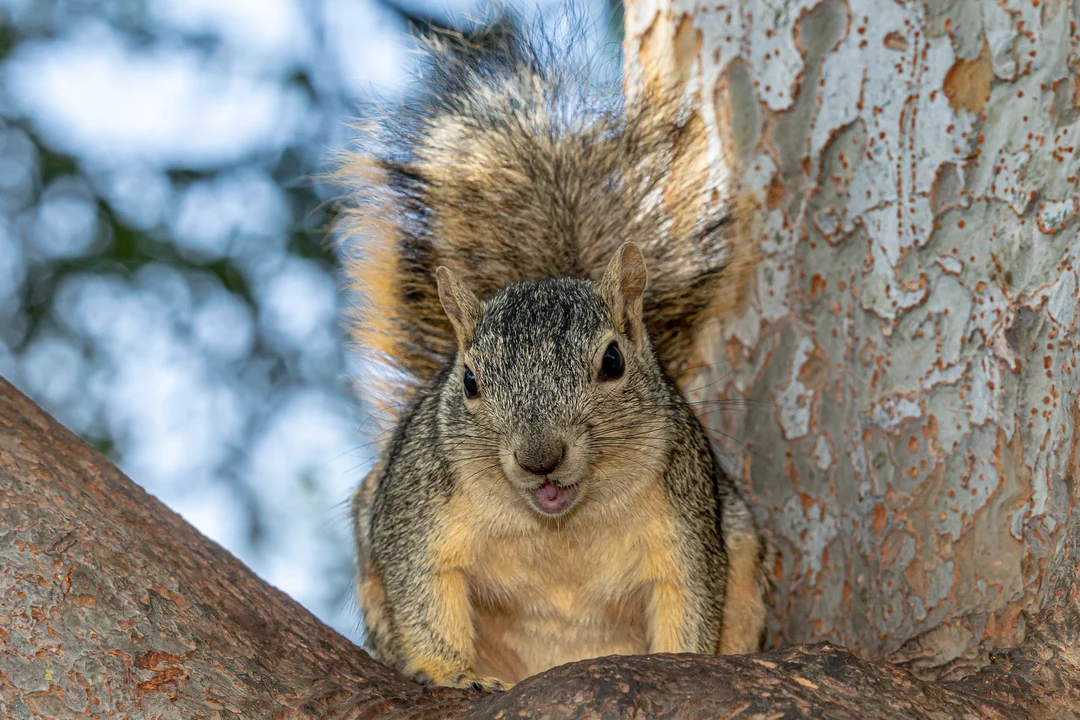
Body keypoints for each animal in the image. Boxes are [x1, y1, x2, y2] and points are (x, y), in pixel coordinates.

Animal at [338, 13, 771, 692]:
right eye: (469, 381)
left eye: (613, 362)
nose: (540, 459)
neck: (561, 529)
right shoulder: (415, 509)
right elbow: (424, 590)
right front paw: (453, 675)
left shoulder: (686, 523)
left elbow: (689, 599)